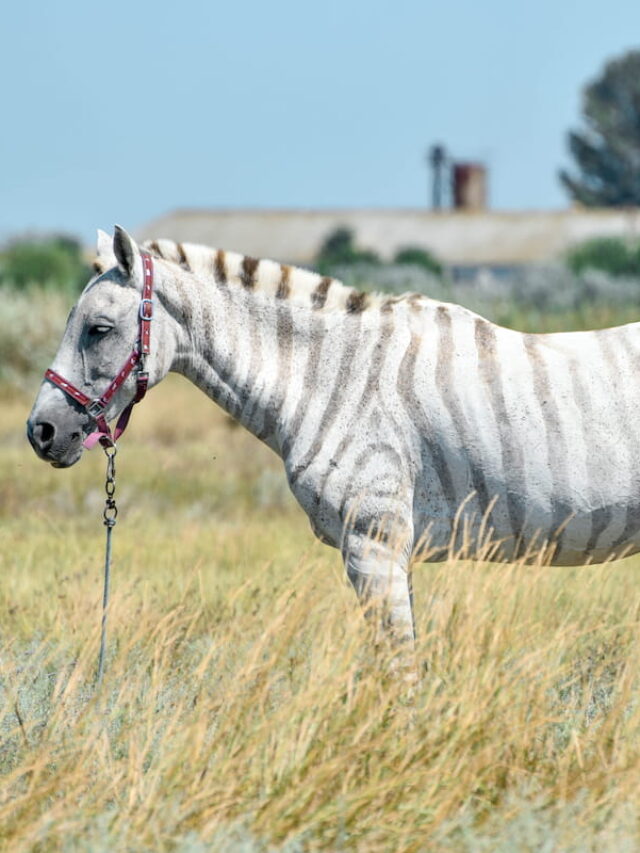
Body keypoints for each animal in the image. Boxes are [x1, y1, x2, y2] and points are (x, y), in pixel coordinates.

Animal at [26, 226, 640, 661]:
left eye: (99, 330)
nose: (40, 433)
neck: (338, 380)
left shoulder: (373, 542)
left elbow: (397, 668)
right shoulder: (390, 550)